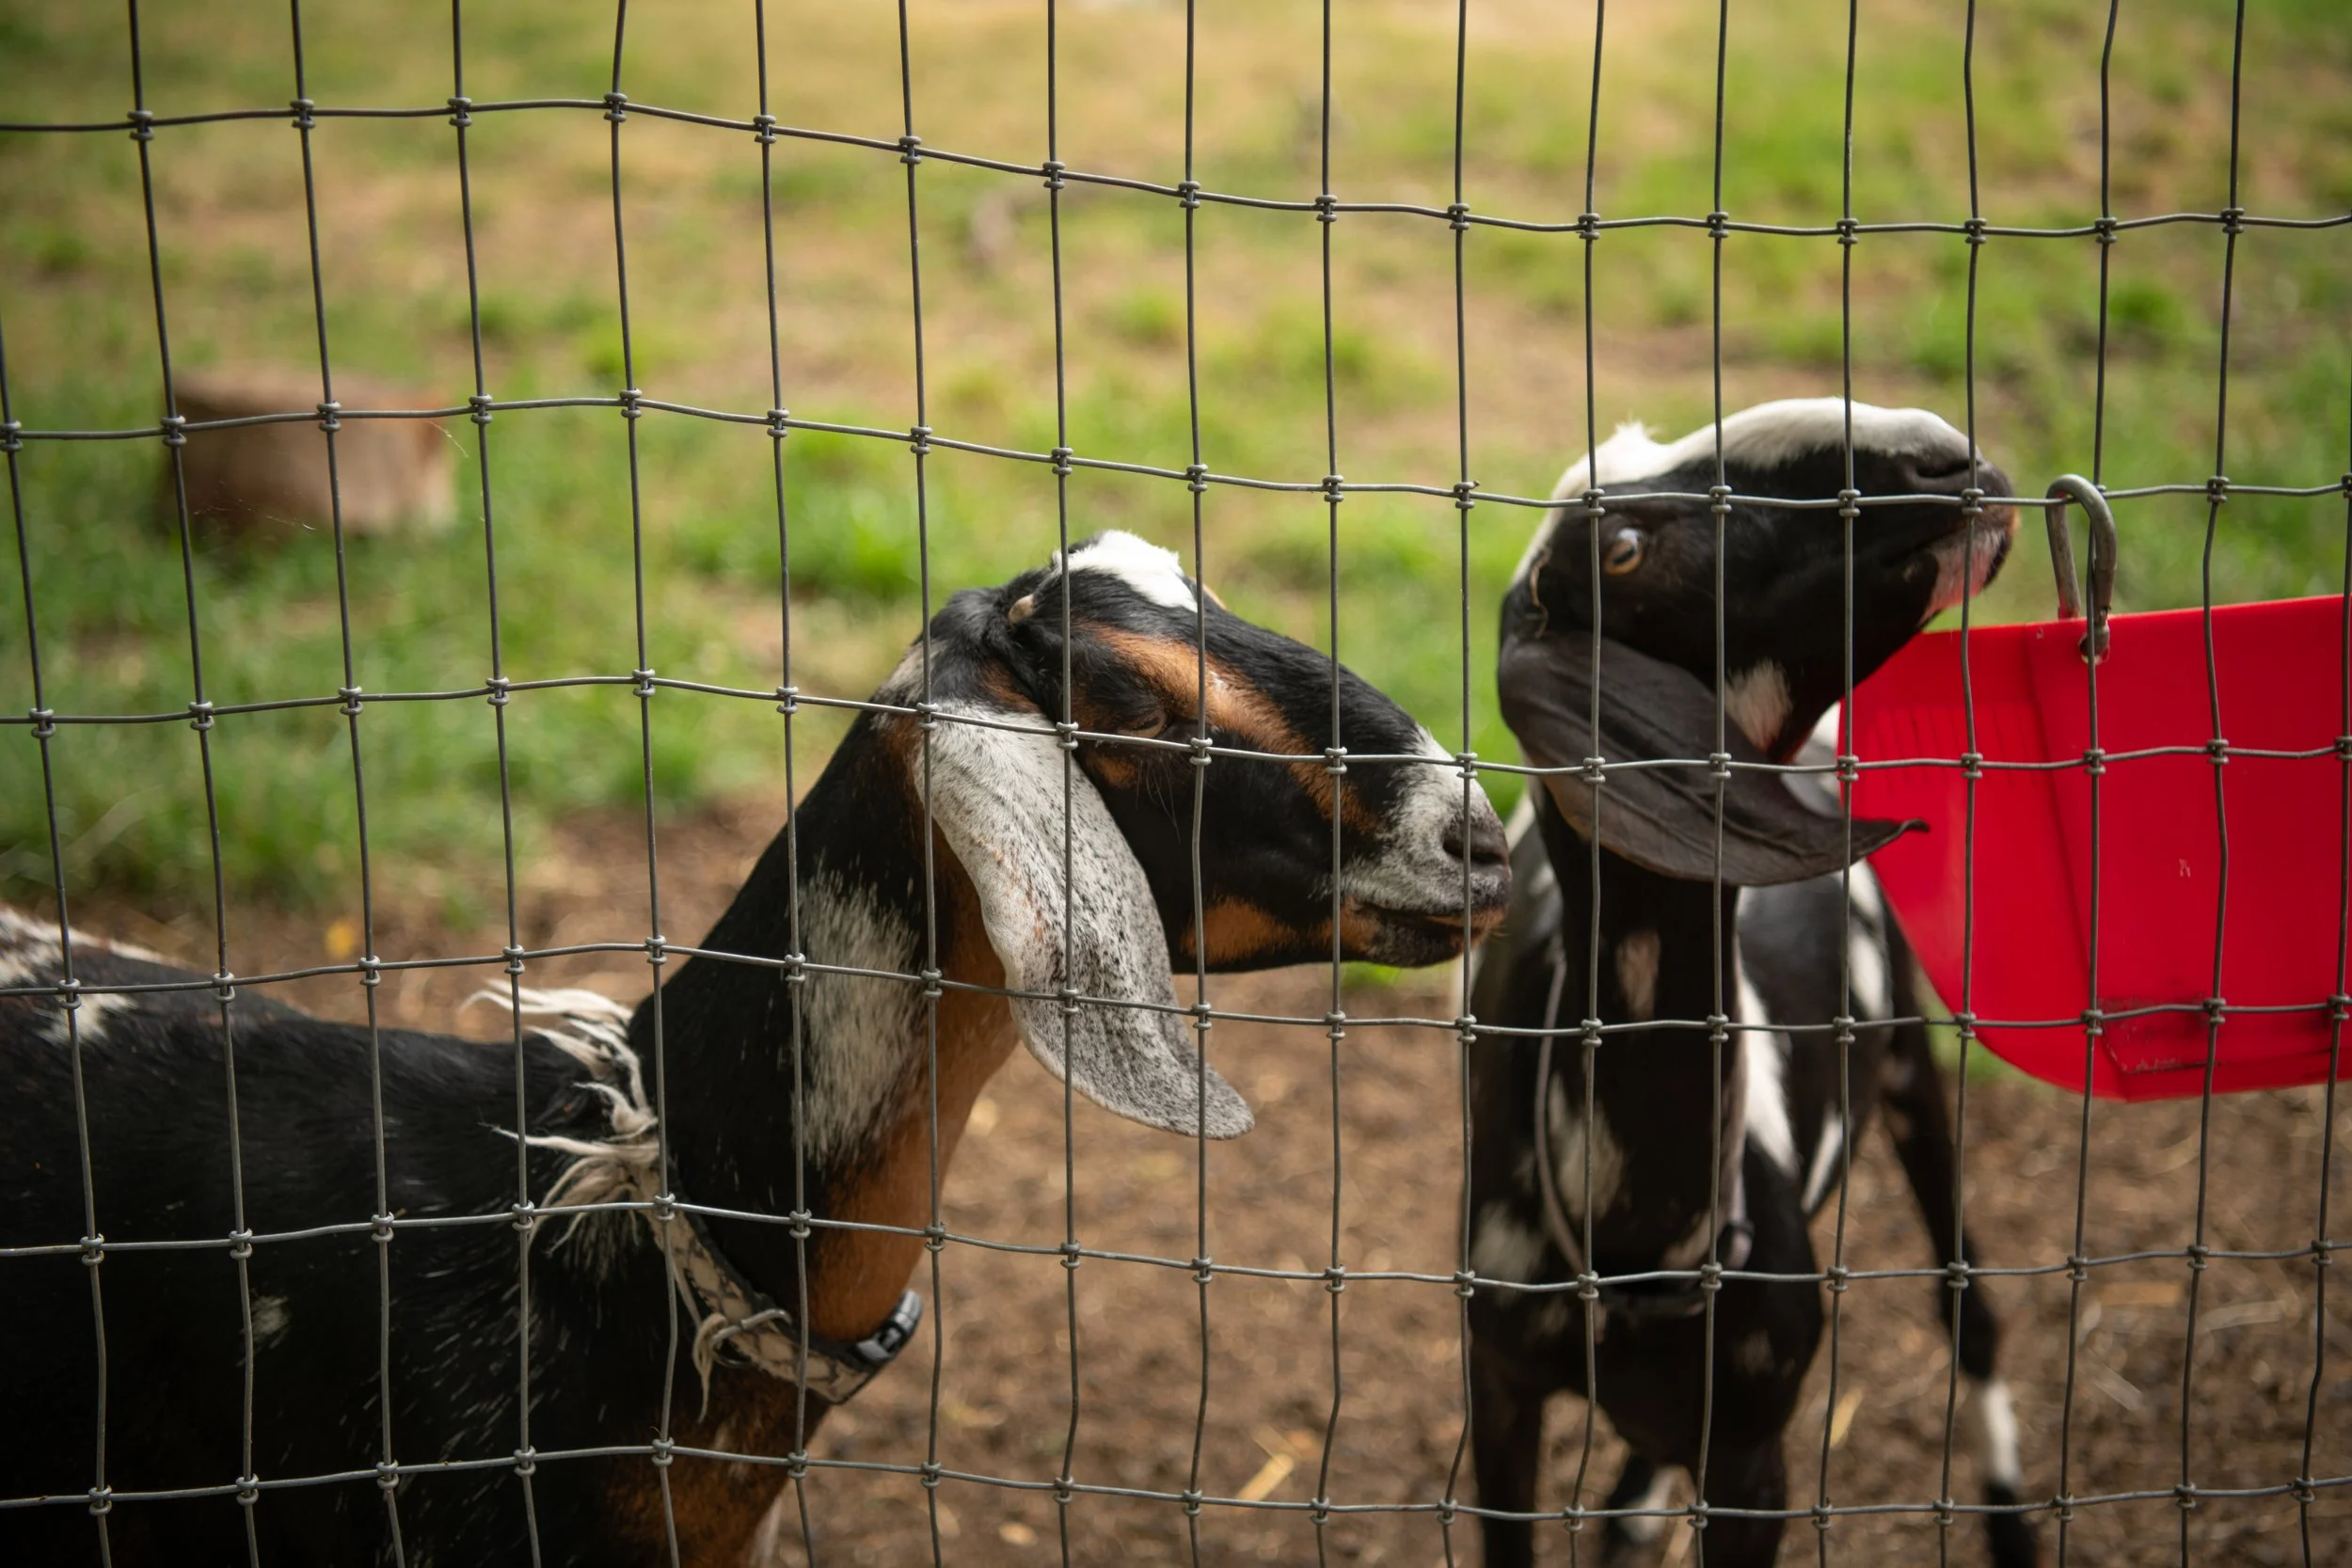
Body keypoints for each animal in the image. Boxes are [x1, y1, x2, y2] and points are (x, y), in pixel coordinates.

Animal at [1464, 400, 2033, 1567]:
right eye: (1624, 551)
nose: (1945, 456)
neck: (1633, 1241)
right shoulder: (1497, 1388)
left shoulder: (1754, 1450)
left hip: (1907, 1063)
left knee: (1967, 1303)